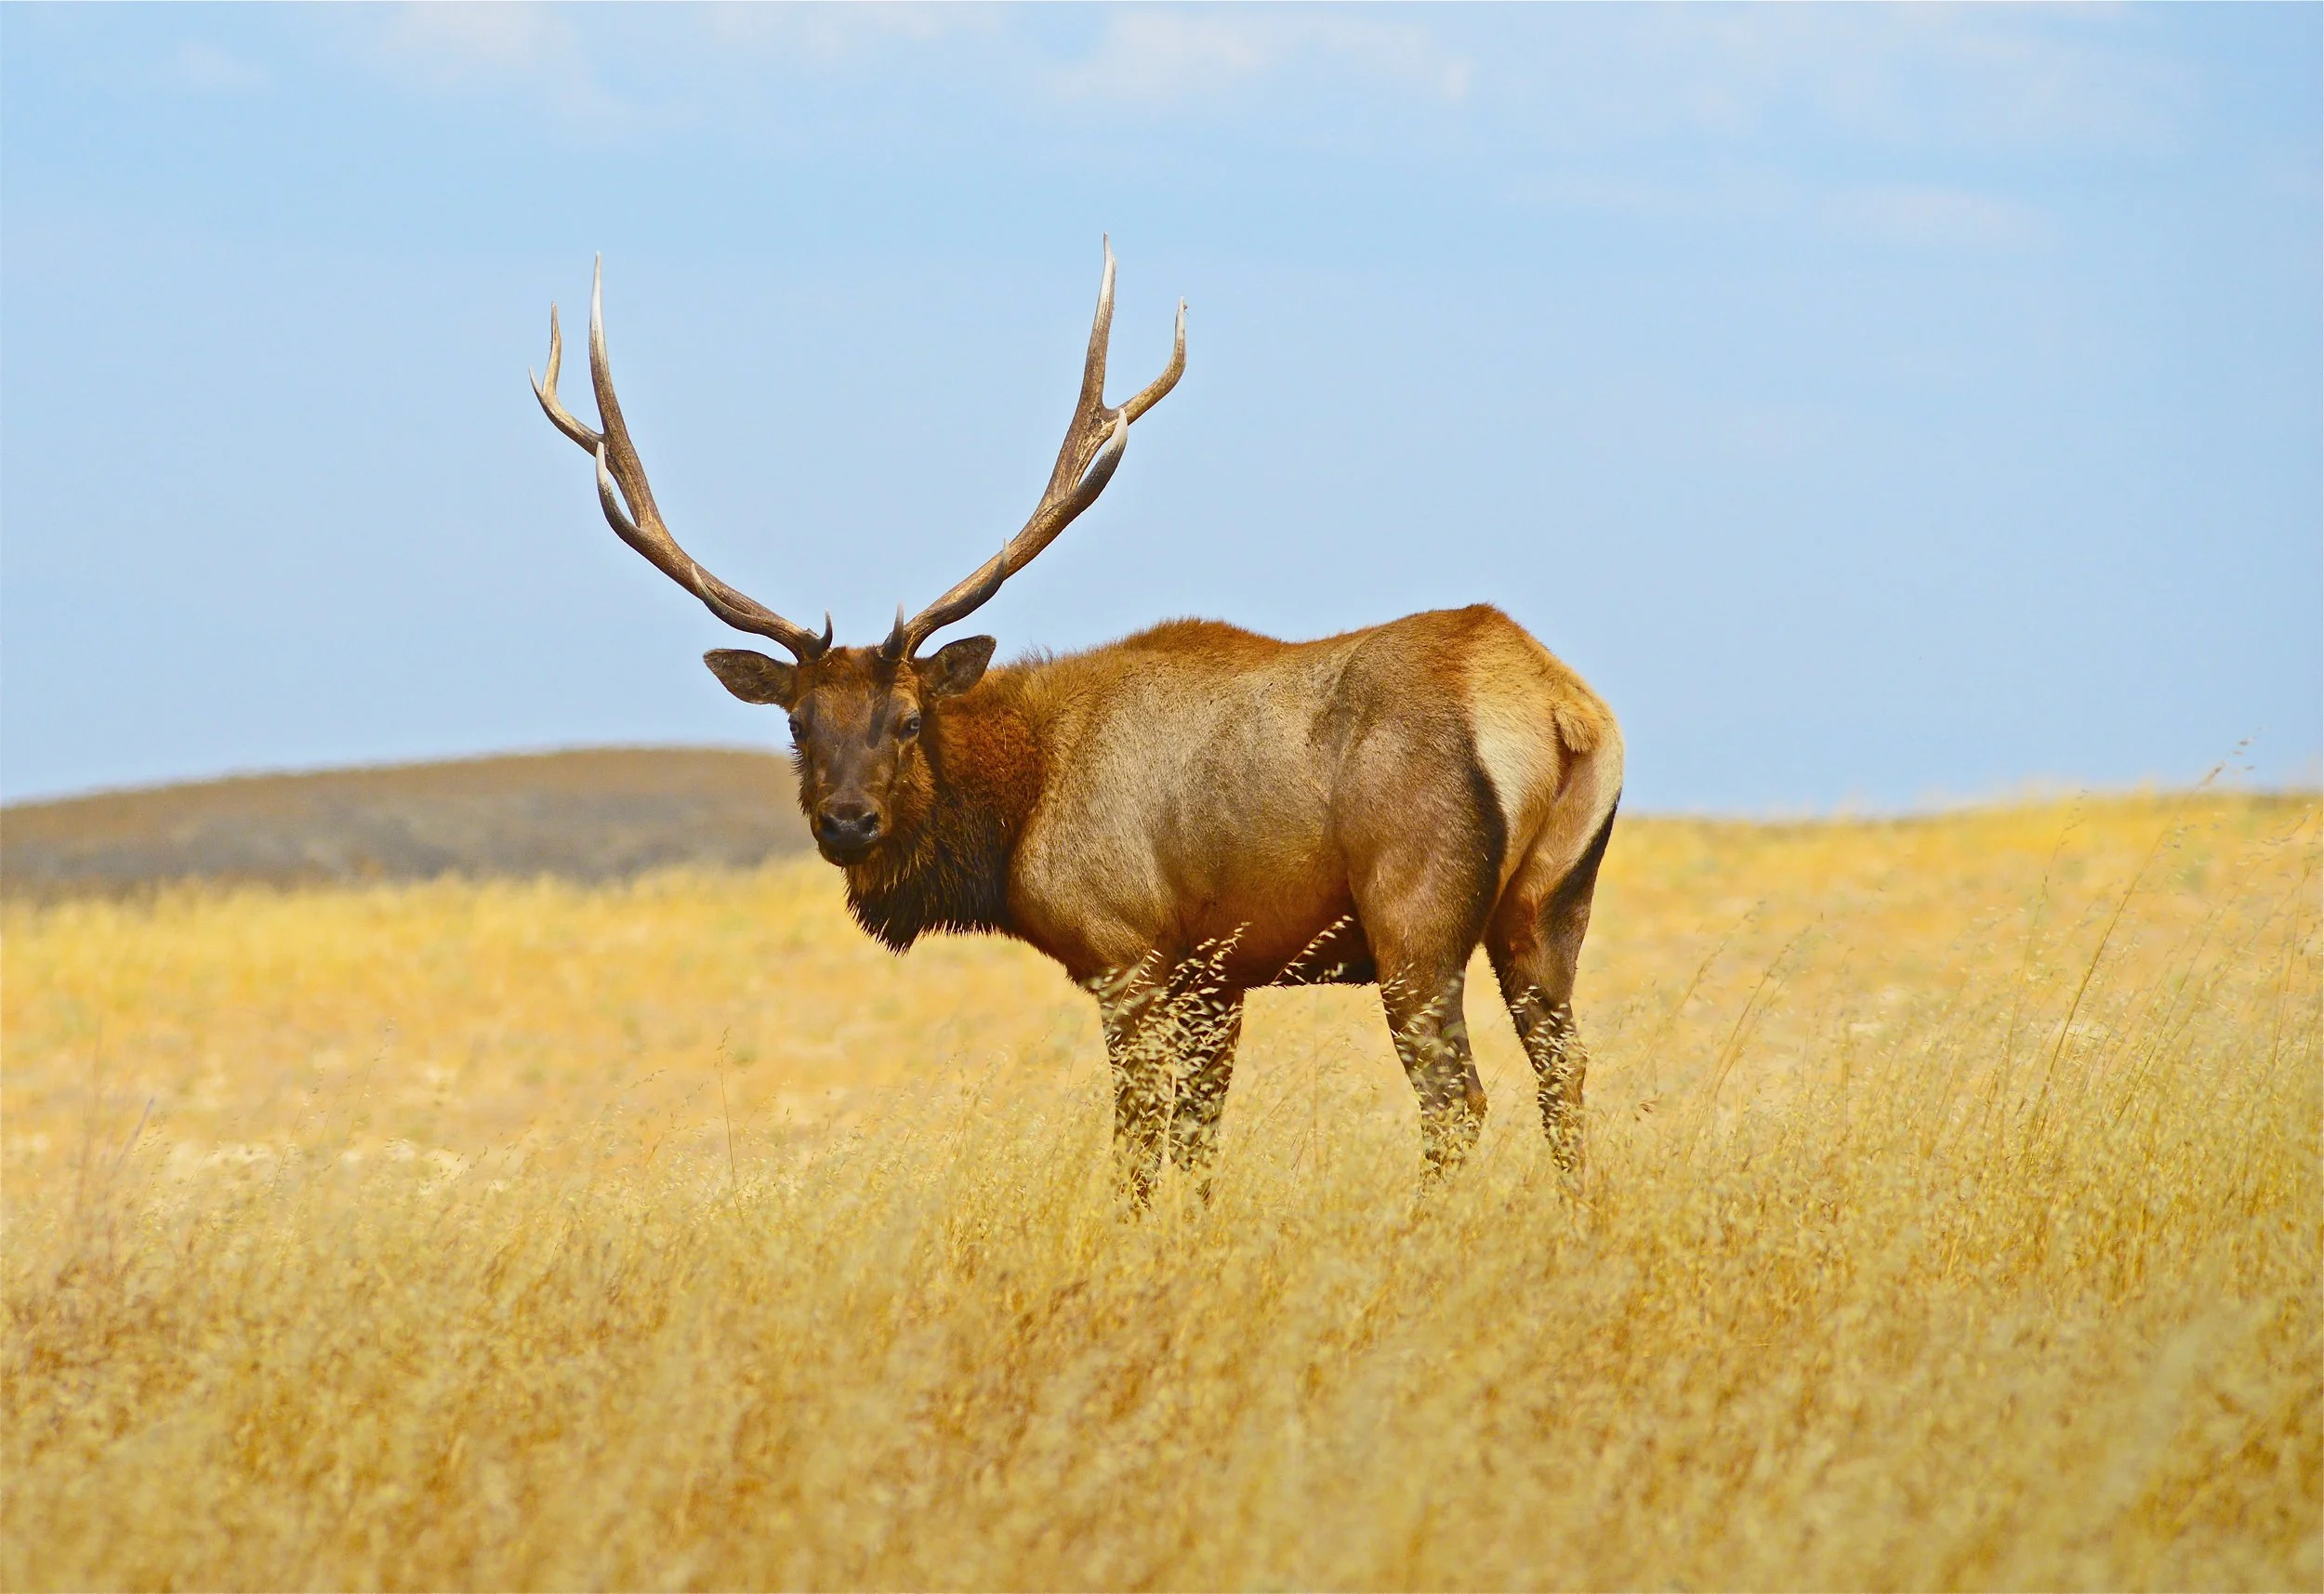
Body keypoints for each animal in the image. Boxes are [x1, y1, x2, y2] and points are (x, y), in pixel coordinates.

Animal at [532, 242, 1623, 1194]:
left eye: (908, 718)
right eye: (799, 723)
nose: (847, 821)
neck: (1018, 809)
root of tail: (1554, 703)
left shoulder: (1127, 950)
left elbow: (1140, 1146)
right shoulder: (1216, 972)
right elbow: (1200, 1145)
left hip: (1416, 914)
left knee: (1457, 1100)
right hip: (1548, 908)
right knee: (1565, 1075)